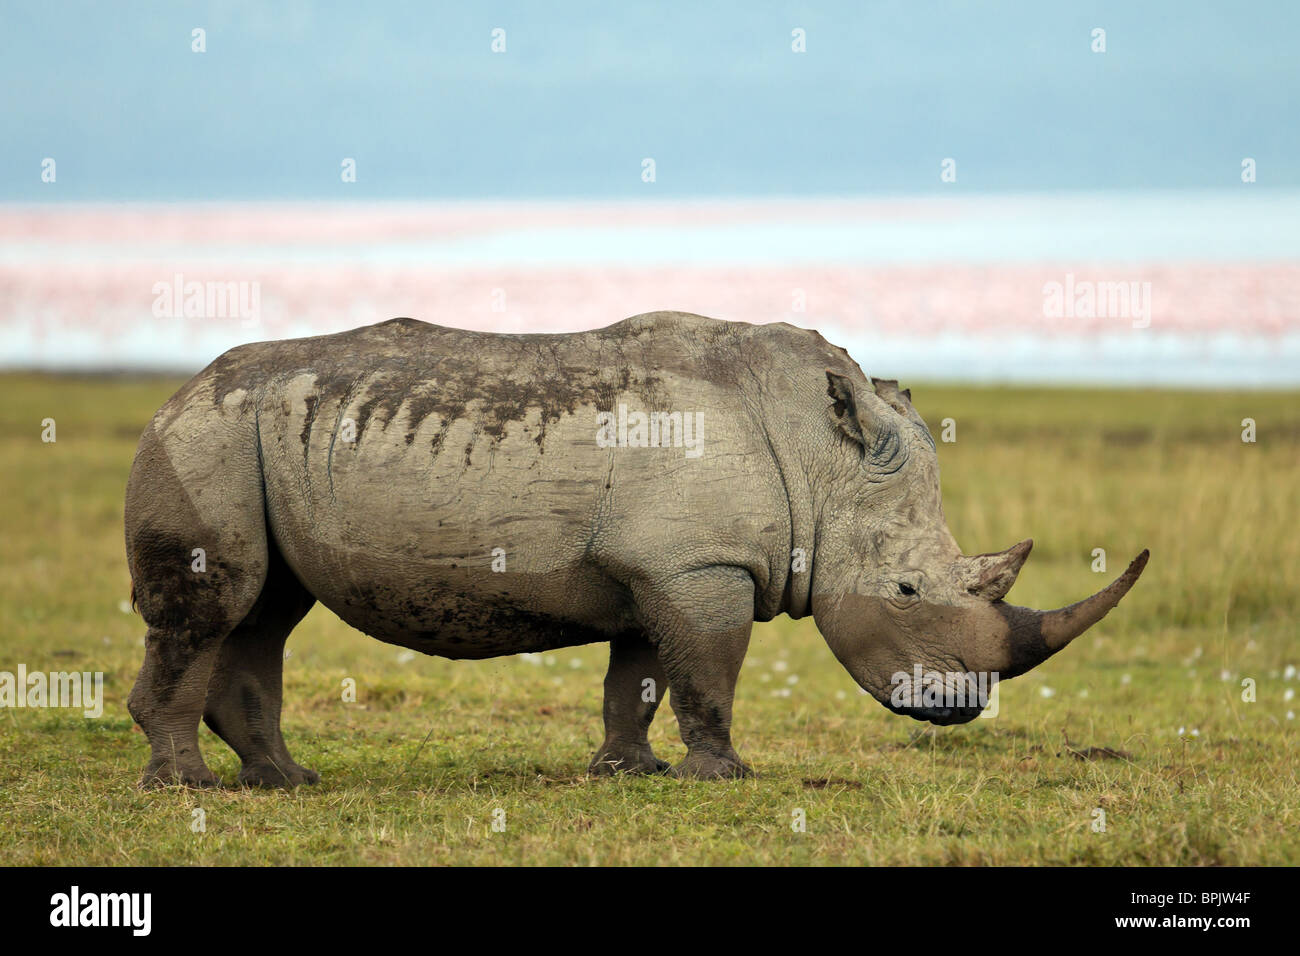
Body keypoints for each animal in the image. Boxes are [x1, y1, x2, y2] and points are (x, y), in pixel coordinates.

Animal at [125, 312, 1148, 785]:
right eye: (904, 591)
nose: (959, 707)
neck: (823, 459)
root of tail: (173, 393)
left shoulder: (660, 568)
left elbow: (643, 675)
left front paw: (630, 772)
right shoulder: (700, 567)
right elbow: (709, 673)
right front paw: (725, 776)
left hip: (249, 438)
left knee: (266, 612)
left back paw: (285, 784)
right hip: (209, 439)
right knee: (219, 607)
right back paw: (190, 788)